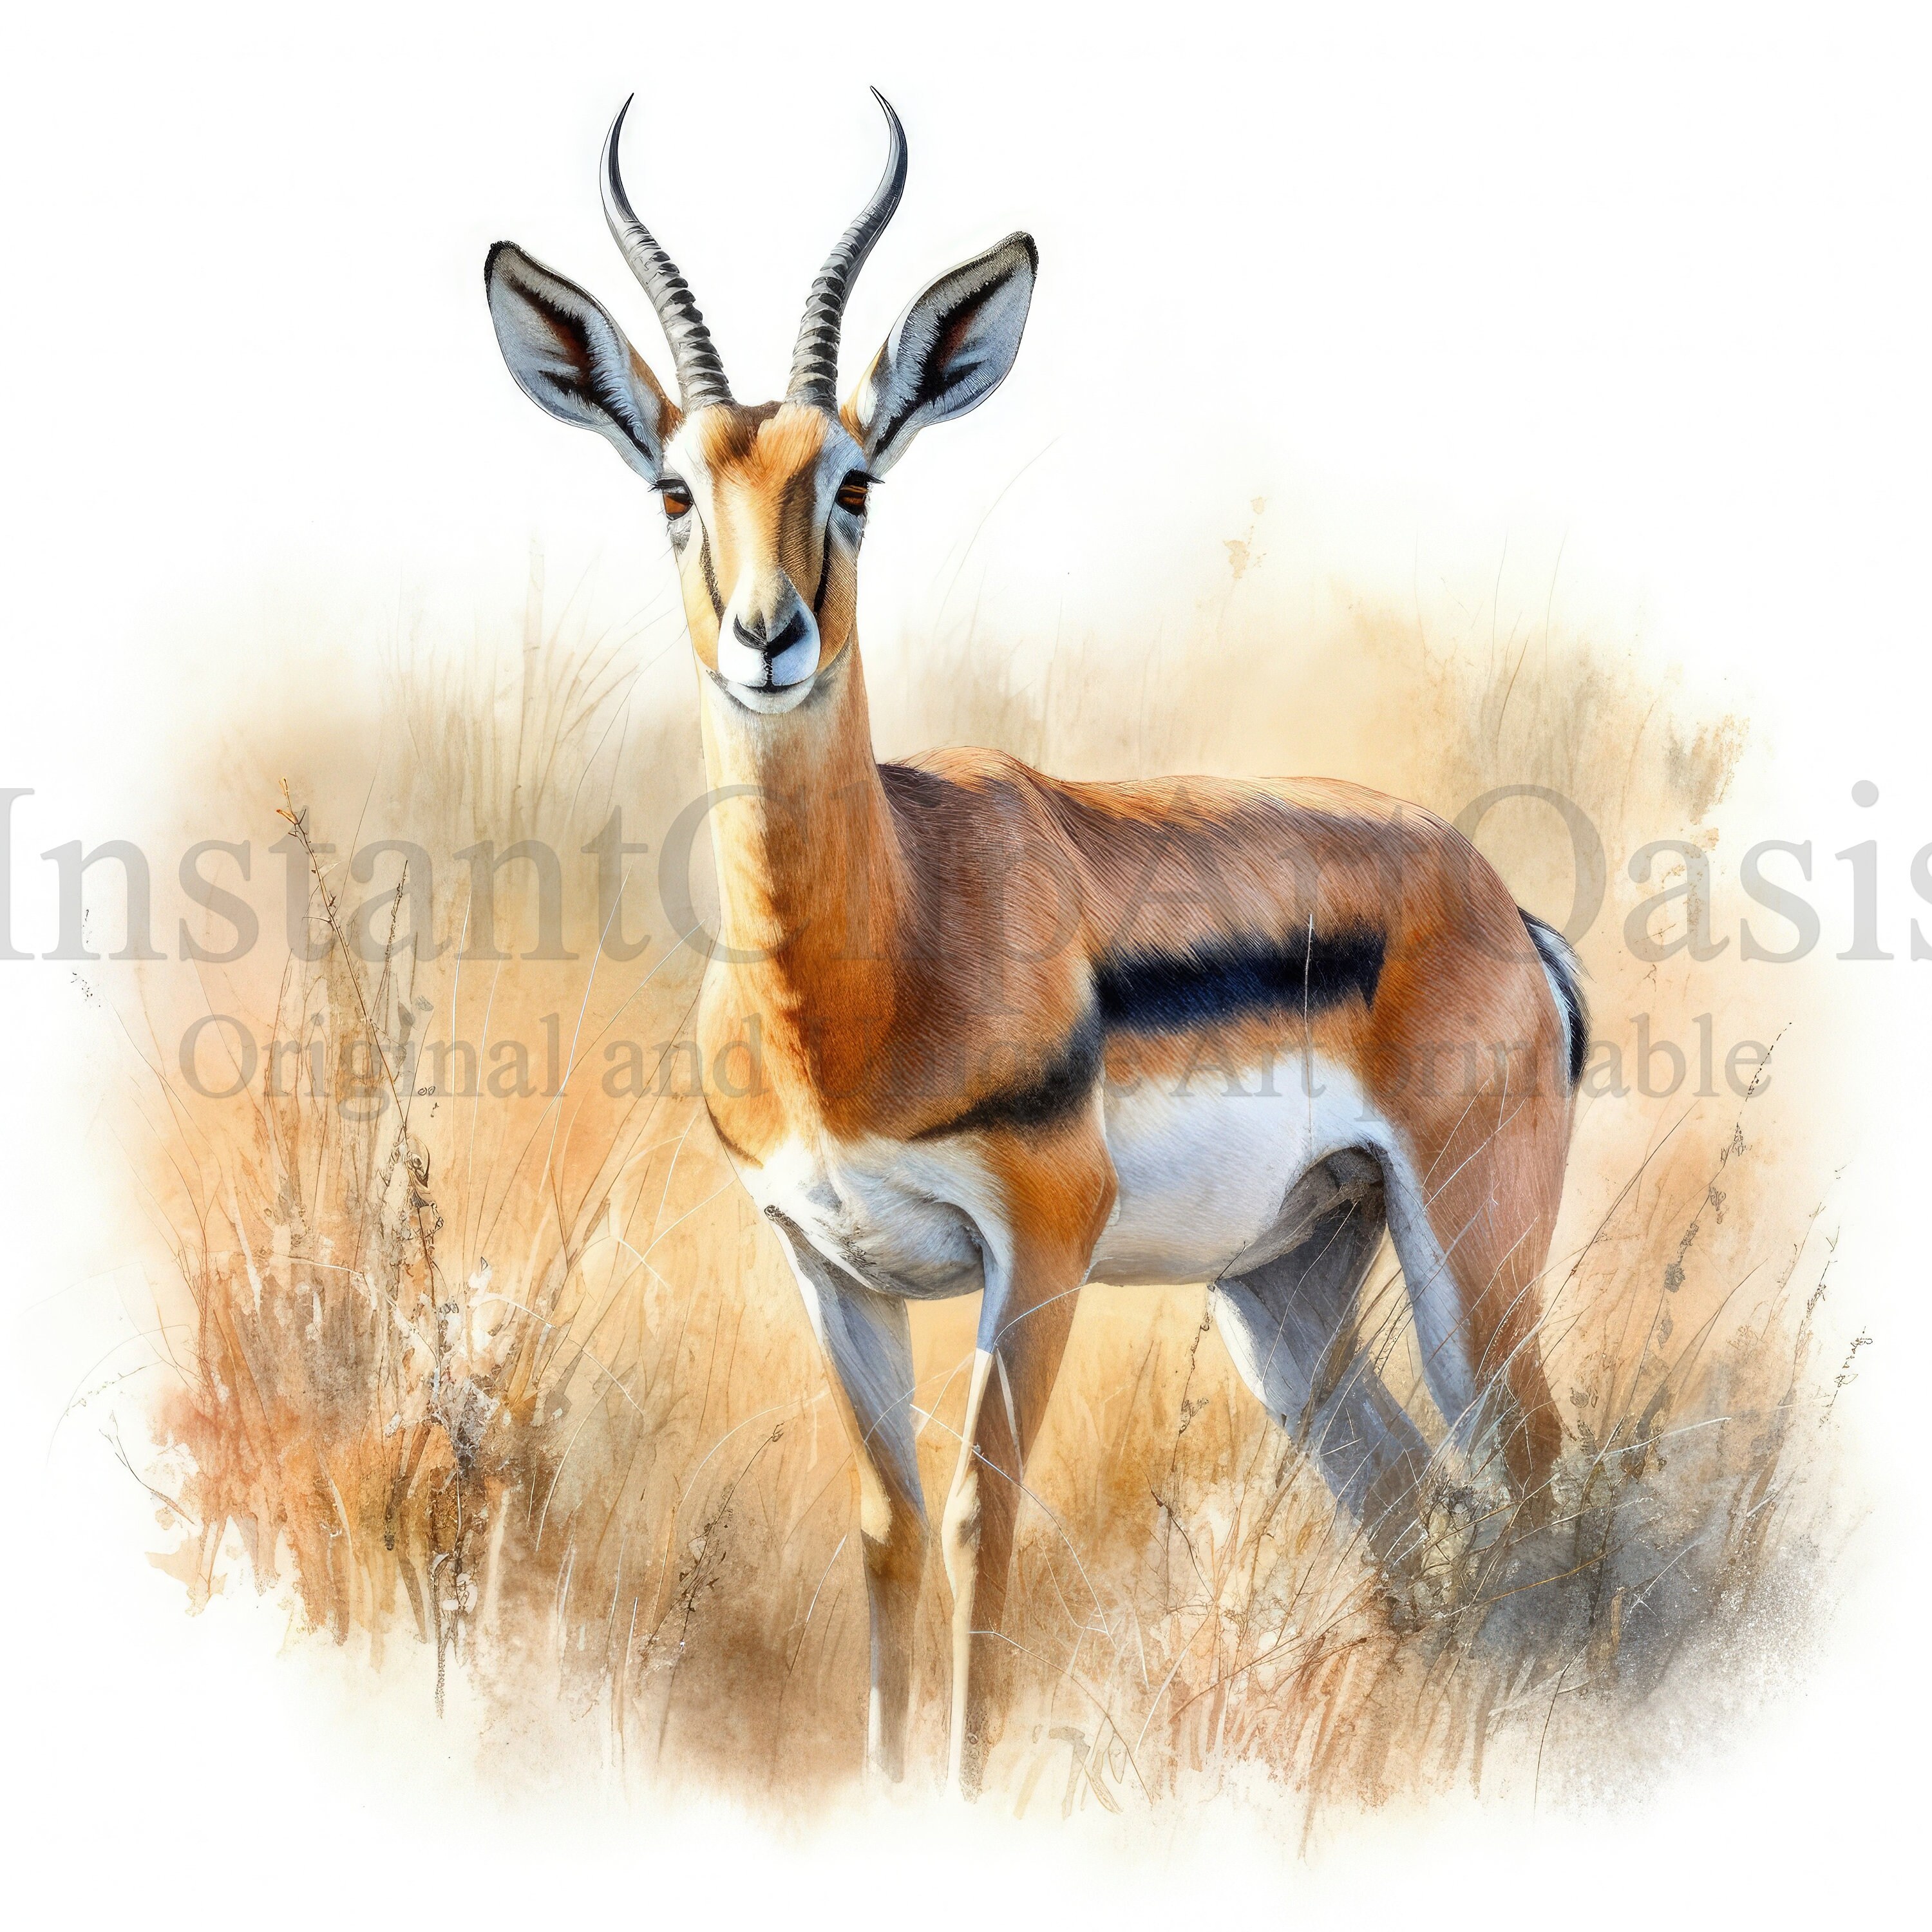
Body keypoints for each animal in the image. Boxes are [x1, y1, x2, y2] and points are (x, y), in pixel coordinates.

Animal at [484, 94, 1587, 1796]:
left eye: (856, 482)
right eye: (674, 489)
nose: (766, 637)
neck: (866, 974)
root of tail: (1500, 903)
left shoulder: (1044, 1243)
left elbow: (976, 1522)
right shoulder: (827, 1264)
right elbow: (882, 1534)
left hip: (1471, 1253)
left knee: (1532, 1476)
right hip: (1283, 1292)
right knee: (1408, 1496)